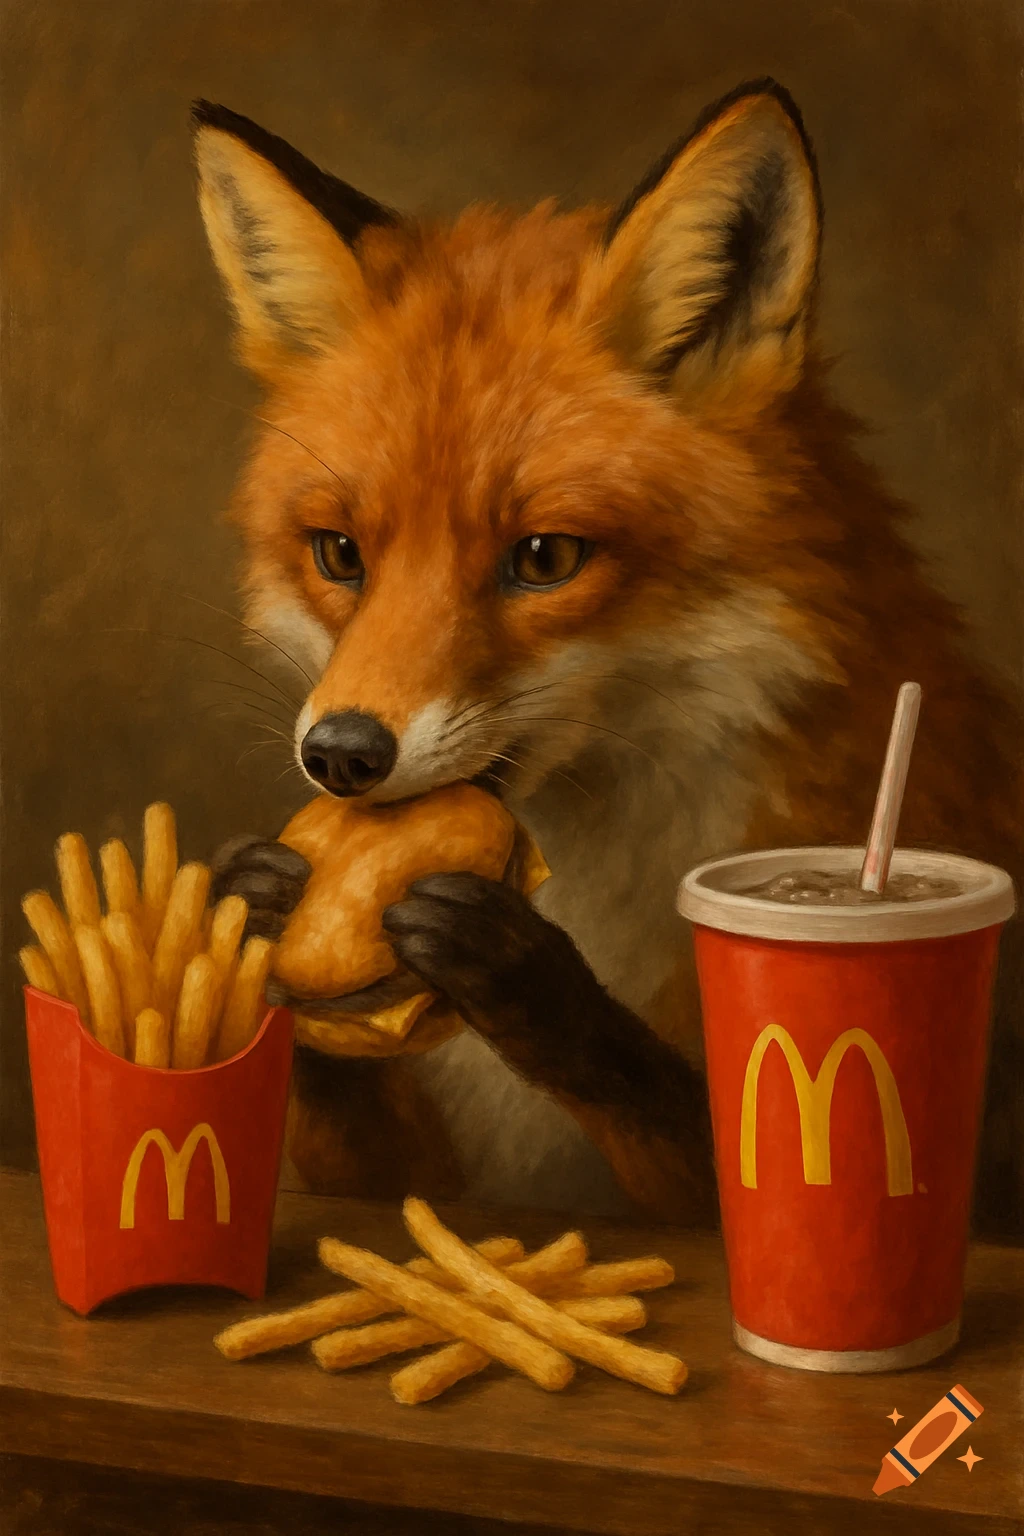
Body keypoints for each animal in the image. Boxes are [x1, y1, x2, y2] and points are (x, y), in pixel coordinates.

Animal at [192, 80, 1023, 1235]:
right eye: (341, 554)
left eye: (544, 558)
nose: (342, 756)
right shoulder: (417, 1169)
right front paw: (255, 911)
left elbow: (672, 1112)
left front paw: (537, 986)